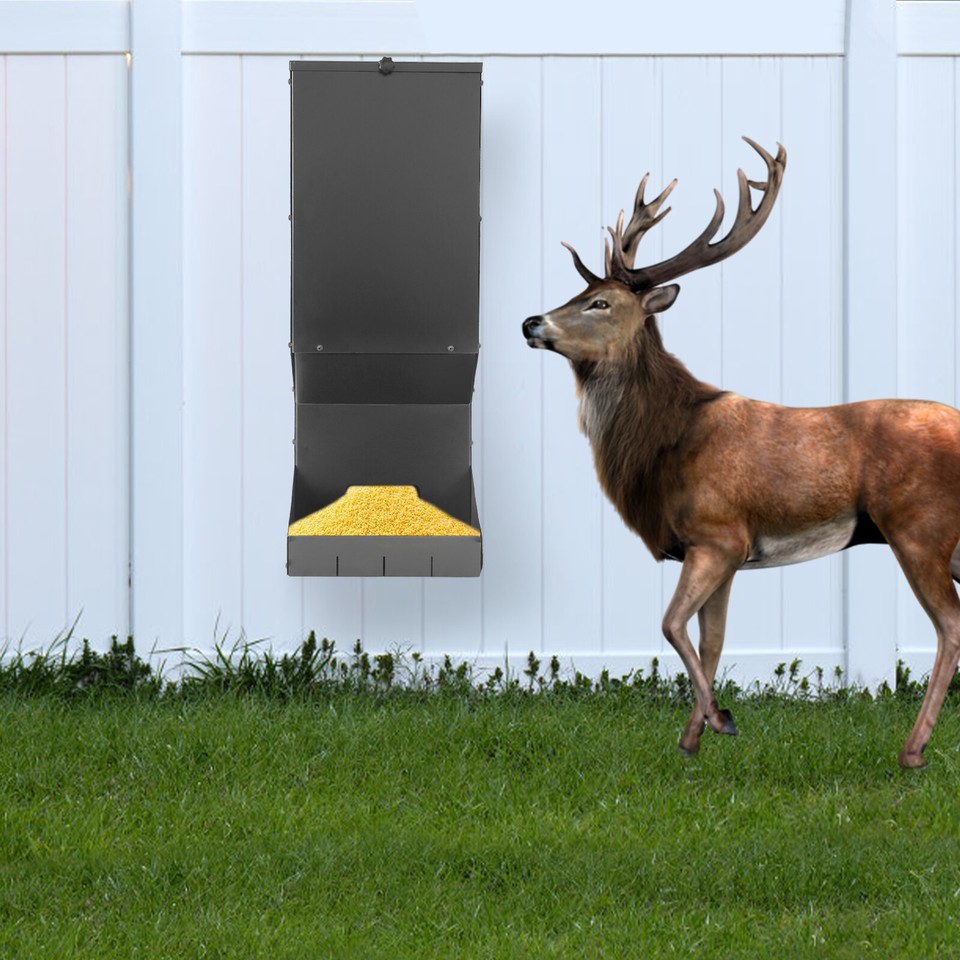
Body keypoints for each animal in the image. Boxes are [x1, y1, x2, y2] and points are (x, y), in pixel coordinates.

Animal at [522, 137, 960, 769]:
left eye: (600, 302)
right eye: (578, 293)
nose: (531, 321)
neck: (666, 441)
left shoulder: (717, 532)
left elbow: (671, 625)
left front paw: (719, 720)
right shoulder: (723, 551)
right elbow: (711, 639)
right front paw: (692, 739)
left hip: (919, 526)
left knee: (950, 625)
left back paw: (913, 750)